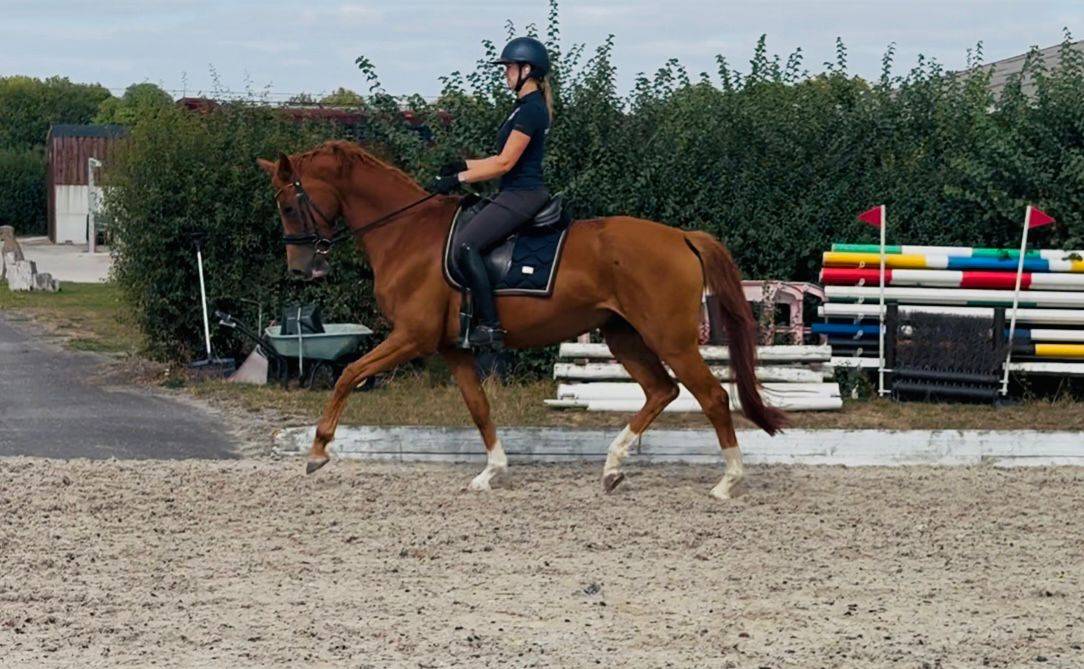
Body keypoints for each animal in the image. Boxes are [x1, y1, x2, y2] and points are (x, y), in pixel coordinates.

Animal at [257, 140, 785, 499]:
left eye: (288, 205)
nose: (302, 270)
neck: (407, 233)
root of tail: (680, 236)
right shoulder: (452, 347)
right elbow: (478, 406)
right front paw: (491, 470)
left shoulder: (413, 337)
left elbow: (348, 374)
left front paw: (318, 451)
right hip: (624, 335)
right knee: (662, 391)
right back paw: (613, 467)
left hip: (668, 337)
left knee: (712, 396)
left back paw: (728, 481)